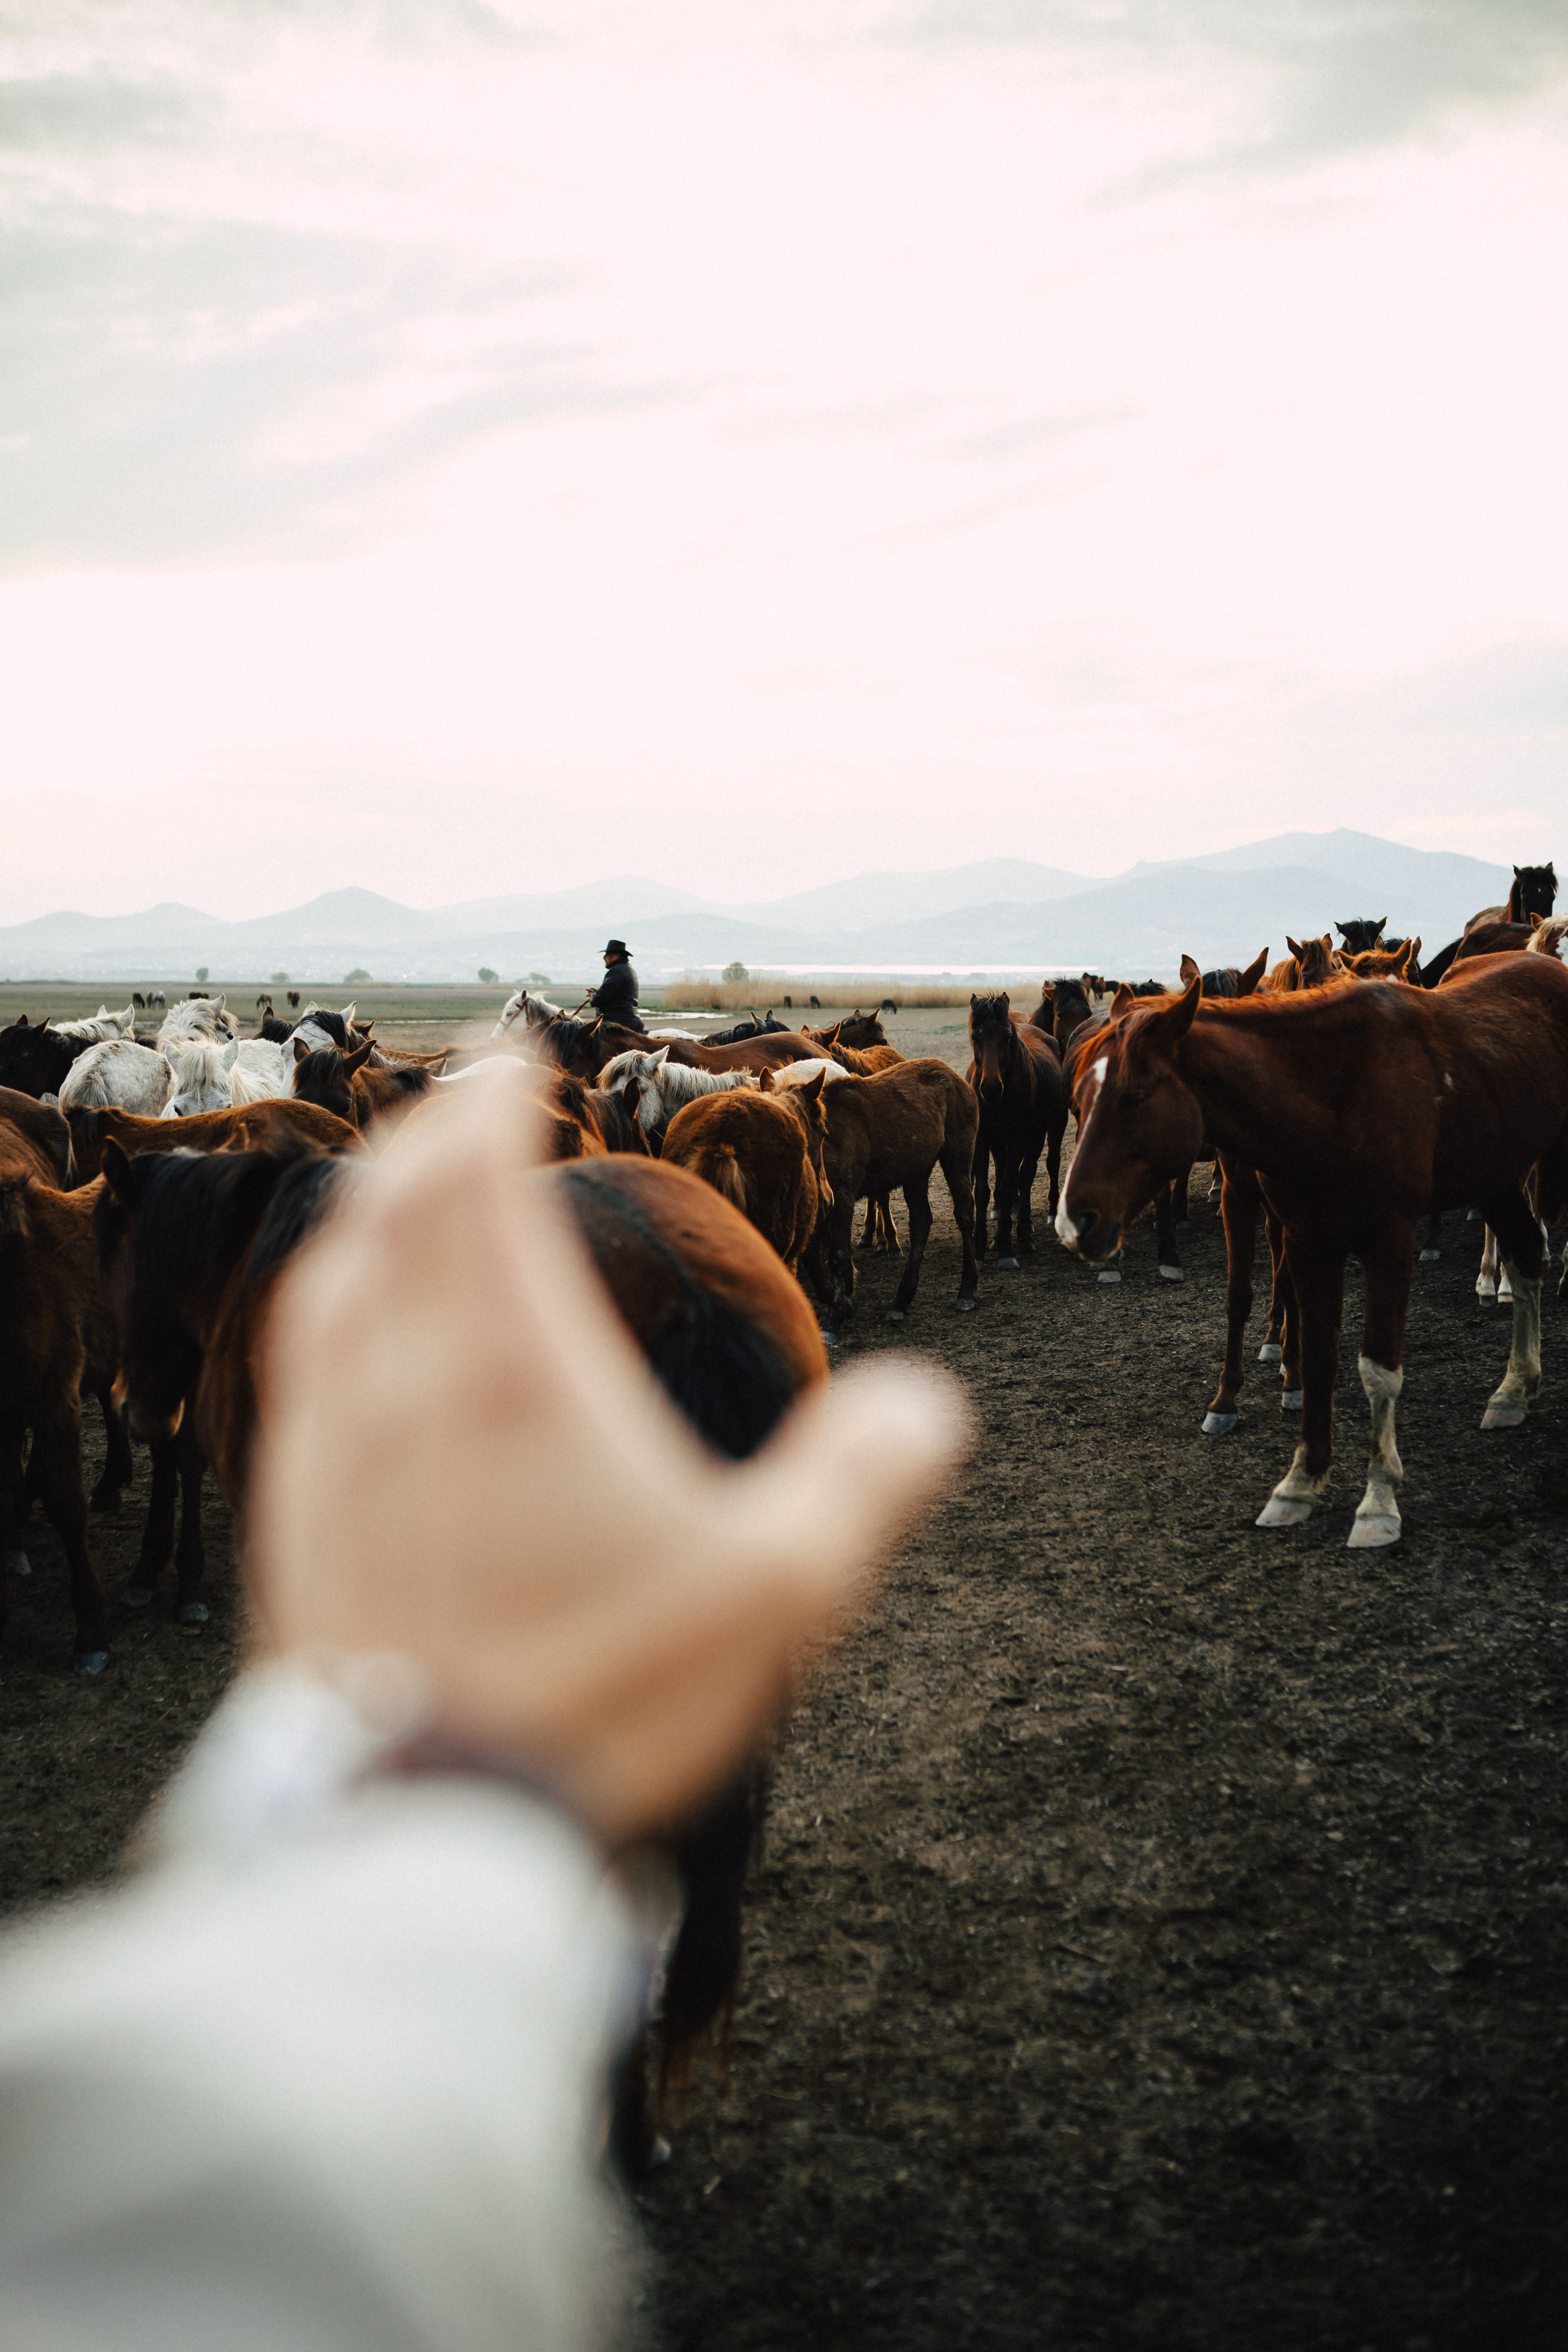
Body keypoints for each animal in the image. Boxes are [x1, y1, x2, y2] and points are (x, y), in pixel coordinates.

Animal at [967, 993, 1066, 1271]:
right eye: (975, 1036)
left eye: (1008, 1037)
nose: (990, 1088)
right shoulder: (983, 1139)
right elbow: (984, 1191)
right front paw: (980, 1249)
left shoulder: (1020, 1140)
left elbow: (1011, 1185)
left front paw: (1006, 1251)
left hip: (1048, 1130)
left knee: (1030, 1175)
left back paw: (1023, 1235)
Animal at [1055, 961, 1568, 1547]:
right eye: (1079, 1097)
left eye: (1136, 1097)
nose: (1073, 1221)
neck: (1336, 1098)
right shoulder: (1309, 1240)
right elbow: (1319, 1355)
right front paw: (1300, 1483)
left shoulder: (1391, 1242)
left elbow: (1379, 1368)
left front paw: (1378, 1501)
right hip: (1498, 1179)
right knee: (1527, 1259)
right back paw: (1514, 1390)